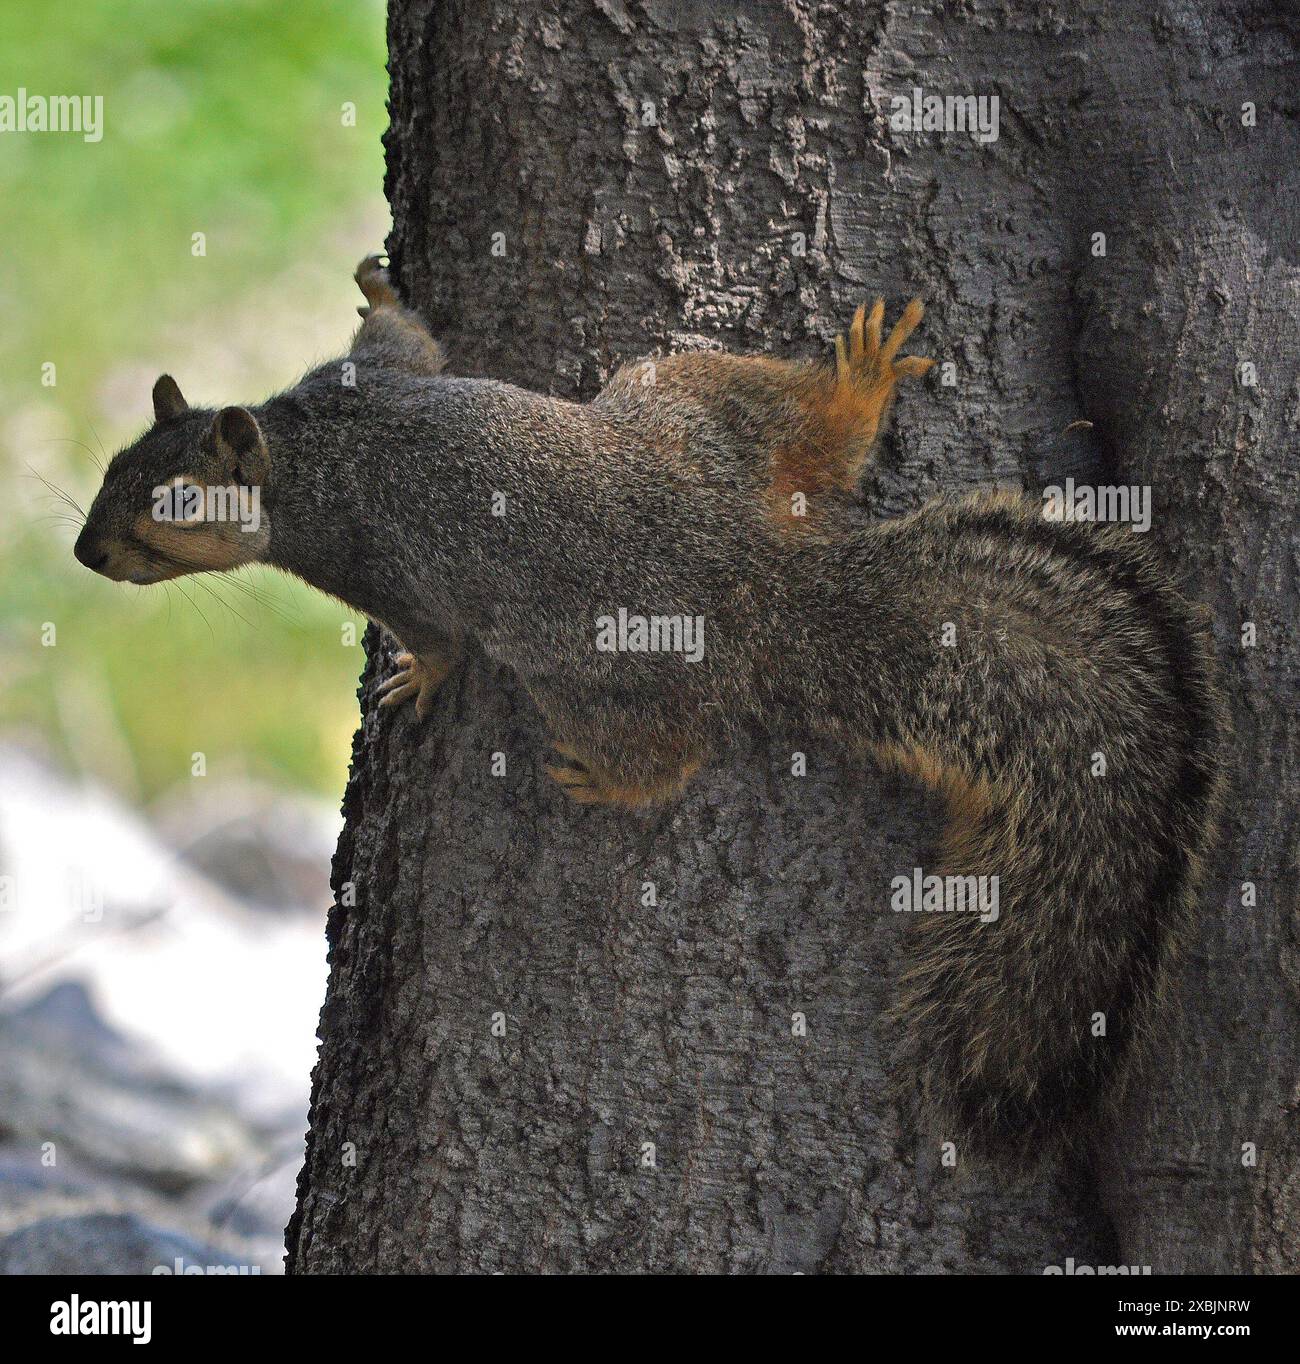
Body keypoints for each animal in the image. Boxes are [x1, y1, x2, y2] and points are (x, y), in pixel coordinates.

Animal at [74, 255, 1226, 1164]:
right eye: (113, 467)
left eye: (174, 509)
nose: (84, 555)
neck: (307, 450)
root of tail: (752, 580)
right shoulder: (368, 380)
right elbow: (407, 339)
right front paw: (378, 286)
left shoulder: (371, 563)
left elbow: (436, 634)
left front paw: (419, 678)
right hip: (698, 407)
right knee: (809, 435)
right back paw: (856, 385)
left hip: (589, 658)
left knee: (667, 749)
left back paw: (613, 777)